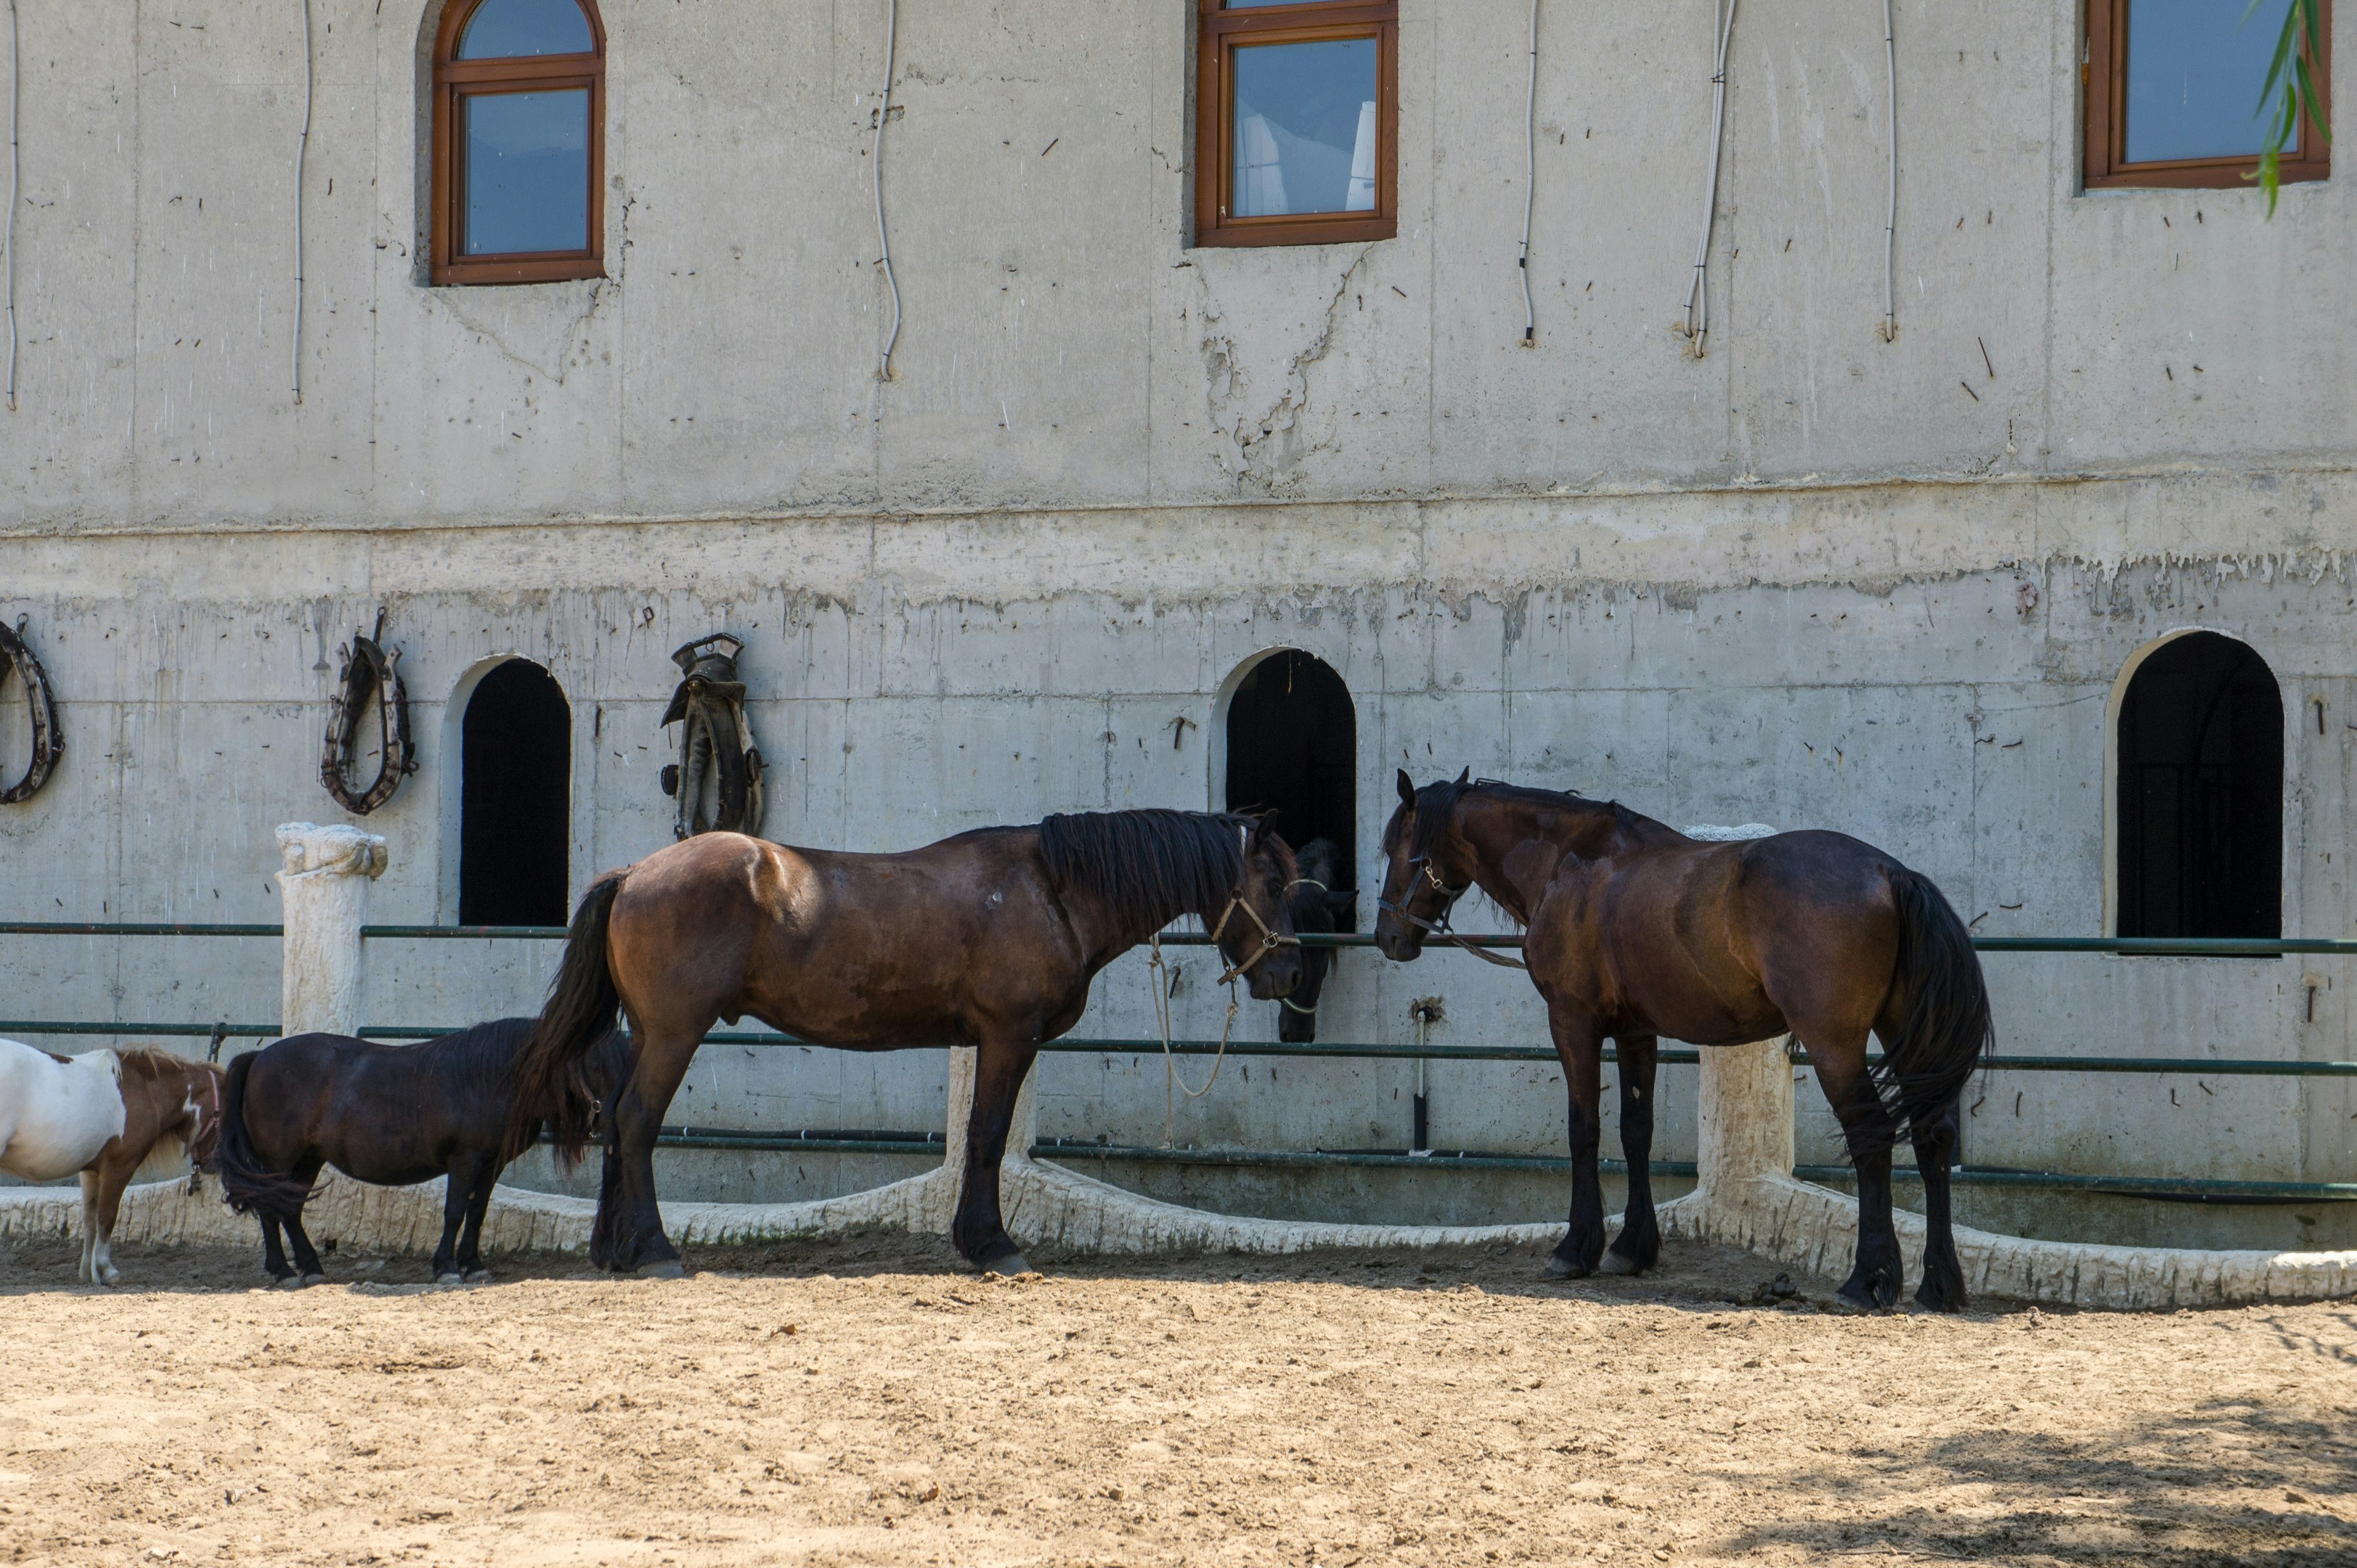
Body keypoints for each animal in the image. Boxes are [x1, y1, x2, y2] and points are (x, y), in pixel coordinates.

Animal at [0, 1038, 227, 1286]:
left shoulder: (90, 1171)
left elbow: (90, 1220)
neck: (144, 1090)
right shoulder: (119, 1167)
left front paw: (88, 1273)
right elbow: (107, 1218)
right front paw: (106, 1270)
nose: (214, 1164)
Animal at [214, 1019, 632, 1287]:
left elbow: (478, 1213)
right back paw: (283, 1271)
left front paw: (473, 1265)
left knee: (290, 1210)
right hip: (279, 1161)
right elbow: (455, 1212)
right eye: (596, 1062)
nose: (613, 1118)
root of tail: (258, 1060)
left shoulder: (491, 1164)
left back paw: (310, 1267)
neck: (489, 1077)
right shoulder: (465, 1161)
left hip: (307, 1160)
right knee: (271, 1211)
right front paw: (447, 1268)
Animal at [505, 810, 1306, 1278]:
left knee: (615, 1123)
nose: (1290, 972)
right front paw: (993, 1246)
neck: (1050, 890)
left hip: (647, 1033)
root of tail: (635, 874)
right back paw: (656, 1252)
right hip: (675, 1034)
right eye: (1272, 880)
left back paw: (612, 1251)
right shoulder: (1009, 1036)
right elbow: (986, 1136)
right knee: (638, 1120)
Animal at [1373, 771, 1991, 1314]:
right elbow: (1635, 1131)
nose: (1388, 936)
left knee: (1873, 1140)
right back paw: (1938, 1285)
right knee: (1933, 1137)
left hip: (1833, 1045)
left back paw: (1866, 1281)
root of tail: (1891, 873)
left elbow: (1583, 1130)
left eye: (1395, 847)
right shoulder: (1635, 1031)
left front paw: (1575, 1249)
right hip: (1902, 1034)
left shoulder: (1572, 1022)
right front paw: (1632, 1248)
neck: (1569, 862)